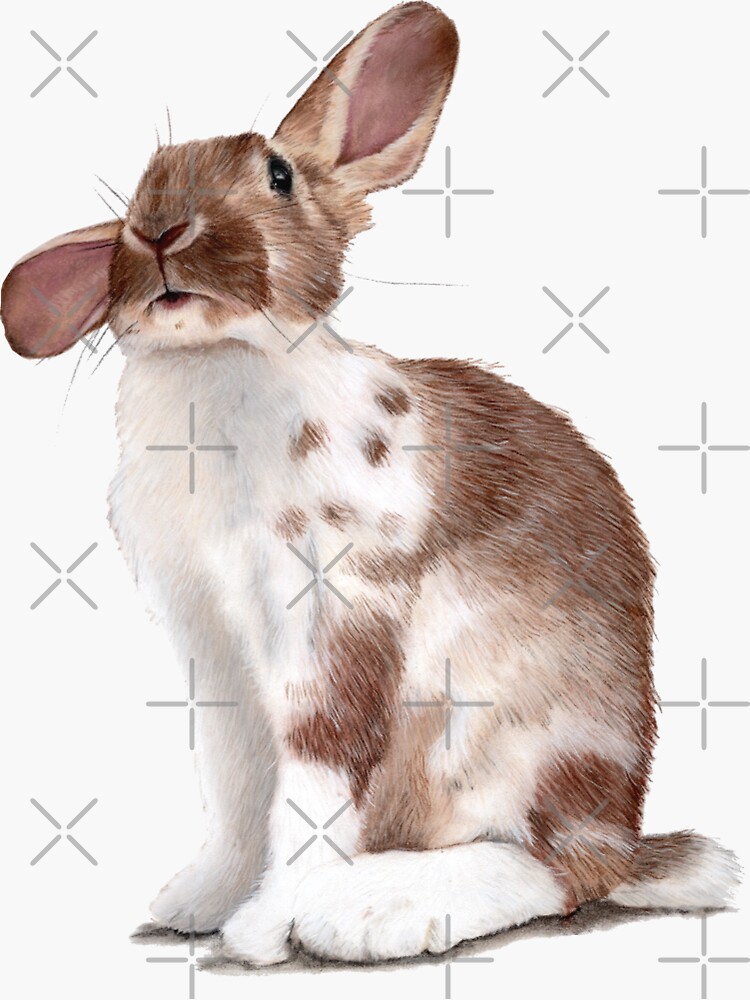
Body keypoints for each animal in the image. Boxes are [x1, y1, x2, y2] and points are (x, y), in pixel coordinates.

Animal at [1, 0, 739, 967]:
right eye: (136, 192)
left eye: (278, 176)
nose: (160, 231)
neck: (217, 362)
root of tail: (625, 828)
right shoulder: (213, 642)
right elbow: (237, 782)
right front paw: (201, 901)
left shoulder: (334, 608)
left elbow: (315, 780)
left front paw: (264, 931)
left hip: (508, 729)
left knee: (559, 867)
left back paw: (376, 910)